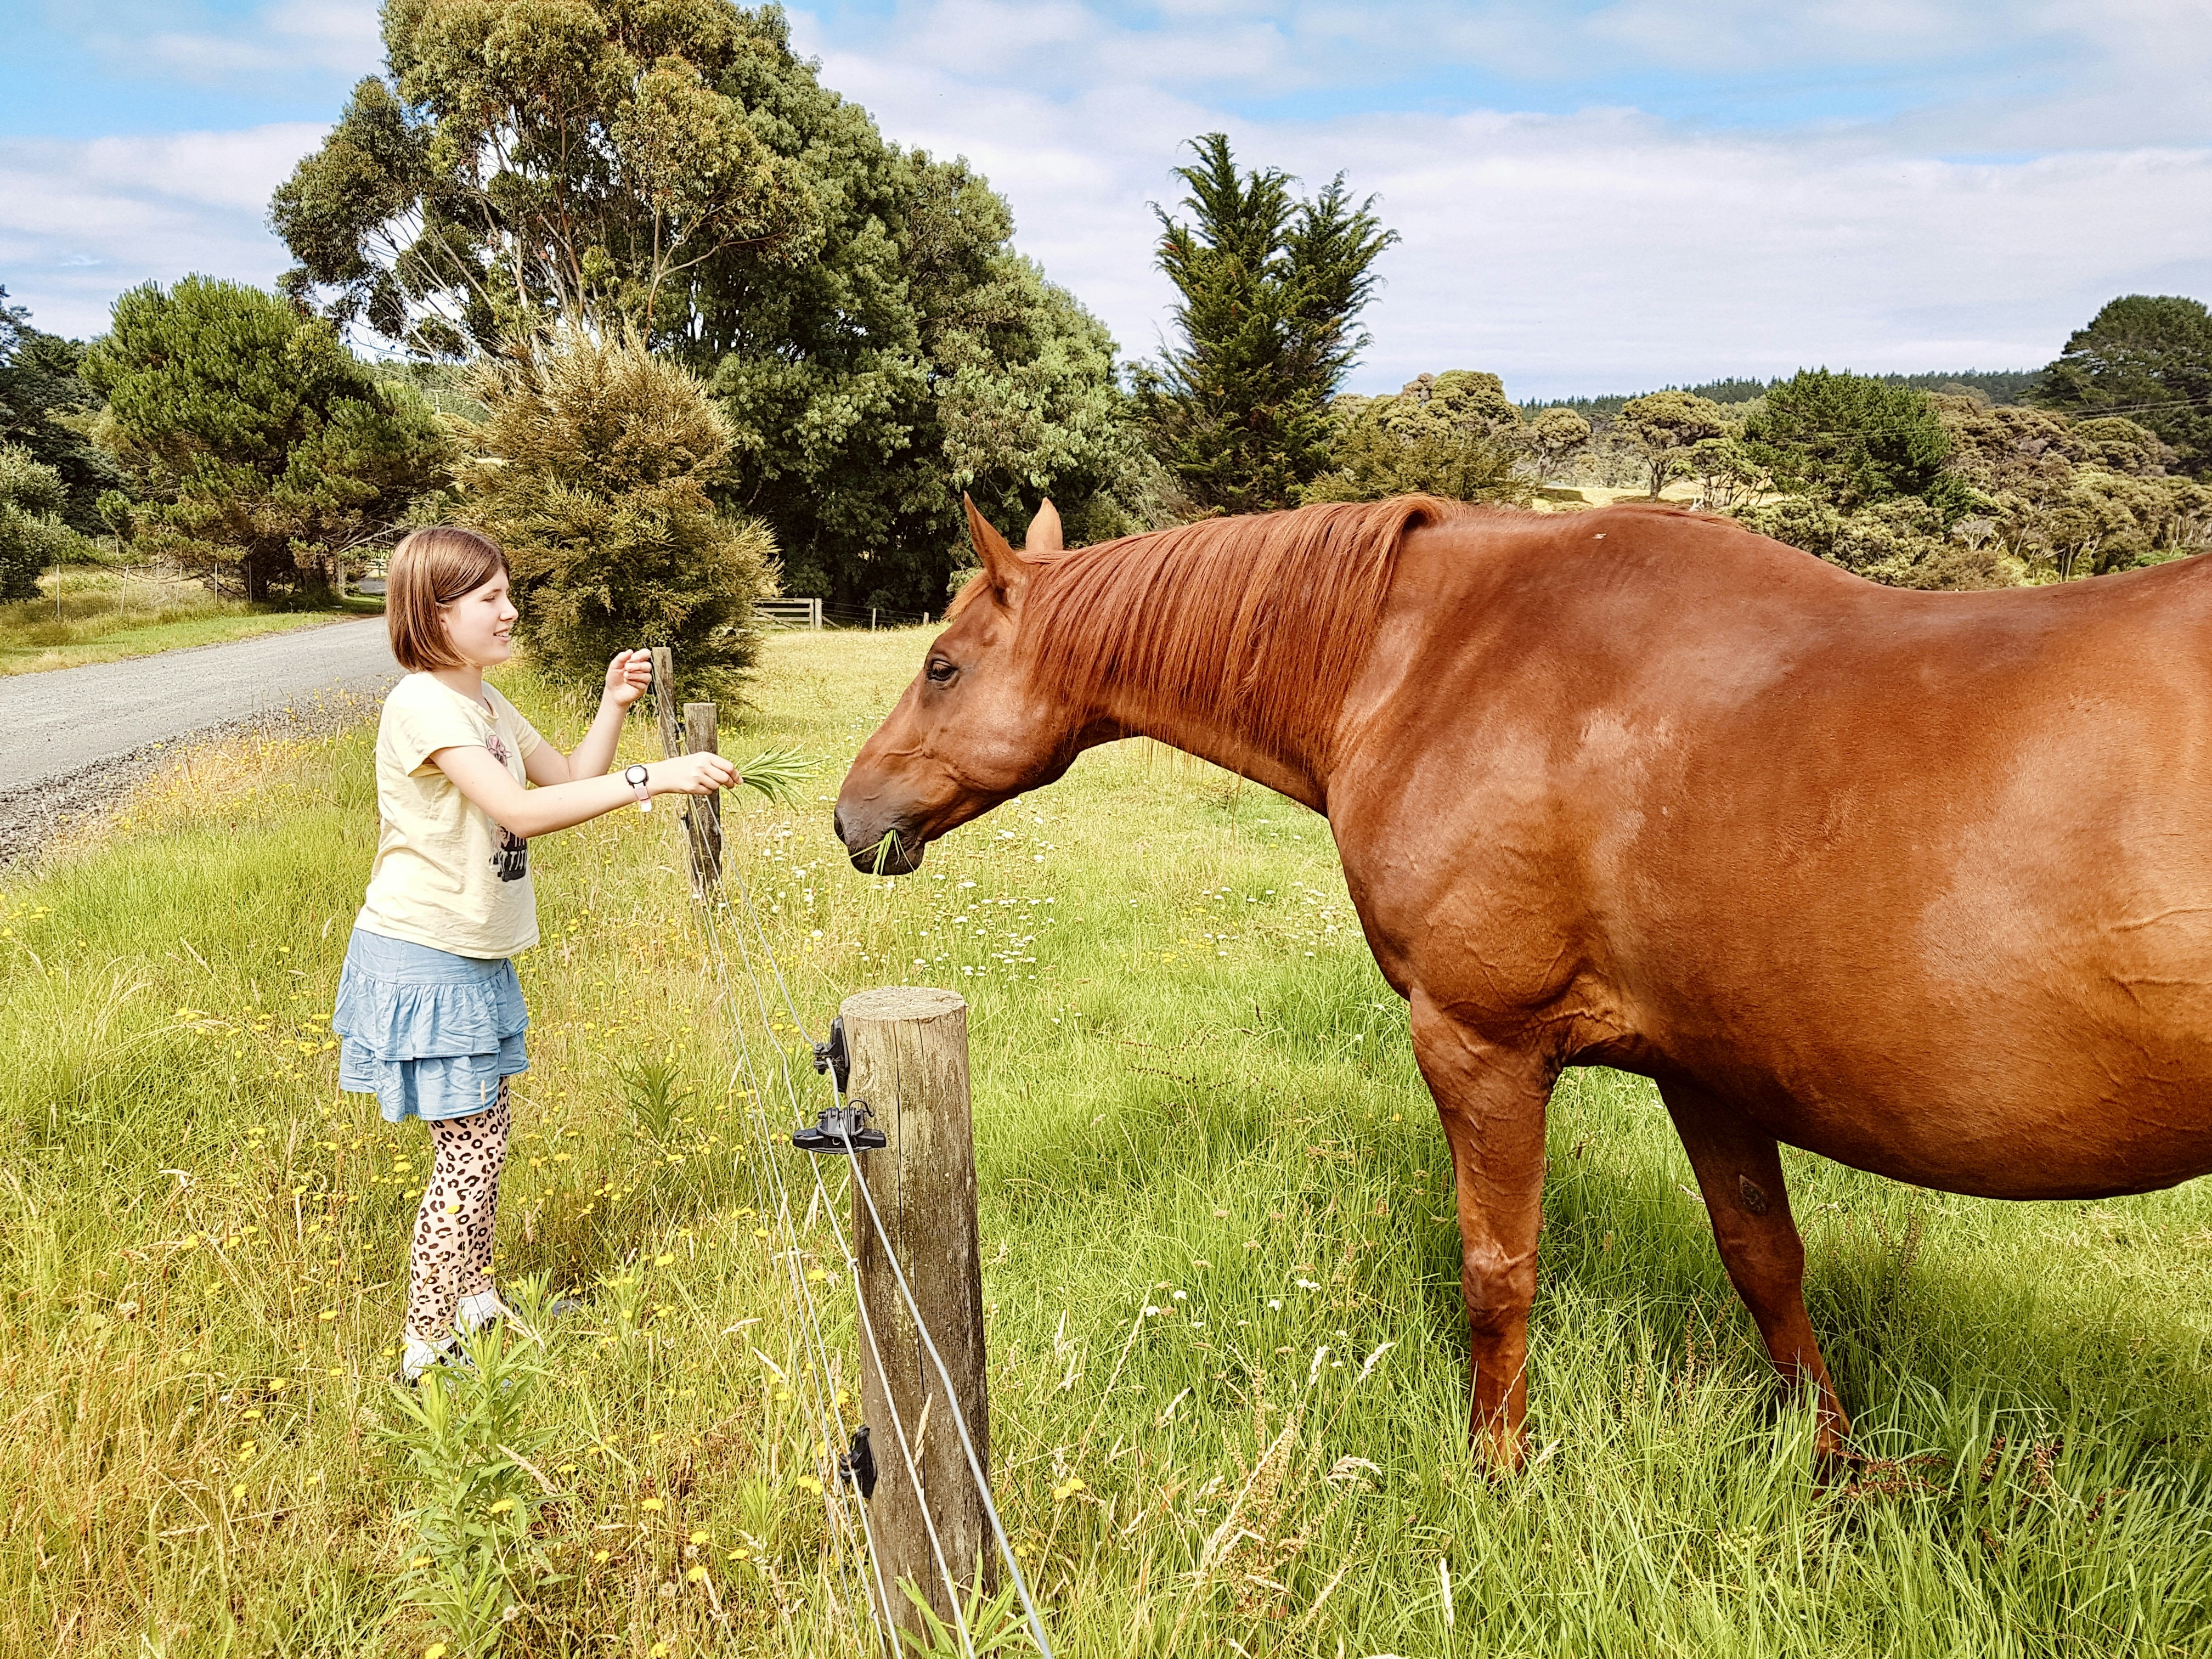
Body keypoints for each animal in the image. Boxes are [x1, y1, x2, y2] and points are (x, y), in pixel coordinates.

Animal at [833, 492, 2212, 1470]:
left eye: (943, 666)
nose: (851, 818)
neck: (1434, 659)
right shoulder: (1706, 1071)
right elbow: (1765, 1260)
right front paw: (1831, 1462)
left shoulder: (1478, 1043)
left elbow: (1499, 1271)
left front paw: (1498, 1468)